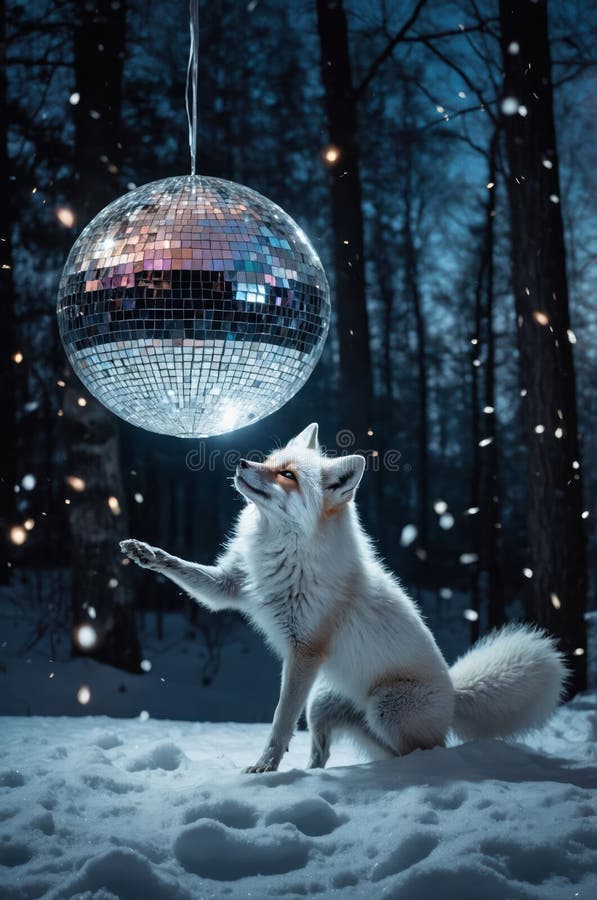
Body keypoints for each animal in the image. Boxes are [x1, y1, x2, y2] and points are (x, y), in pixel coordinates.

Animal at [120, 423, 567, 773]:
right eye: (269, 460)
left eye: (287, 474)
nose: (242, 464)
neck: (284, 555)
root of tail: (455, 694)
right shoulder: (231, 587)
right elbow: (184, 570)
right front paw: (146, 554)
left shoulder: (304, 652)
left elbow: (279, 720)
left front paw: (264, 767)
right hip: (321, 704)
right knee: (327, 753)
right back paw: (319, 773)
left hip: (384, 708)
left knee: (423, 752)